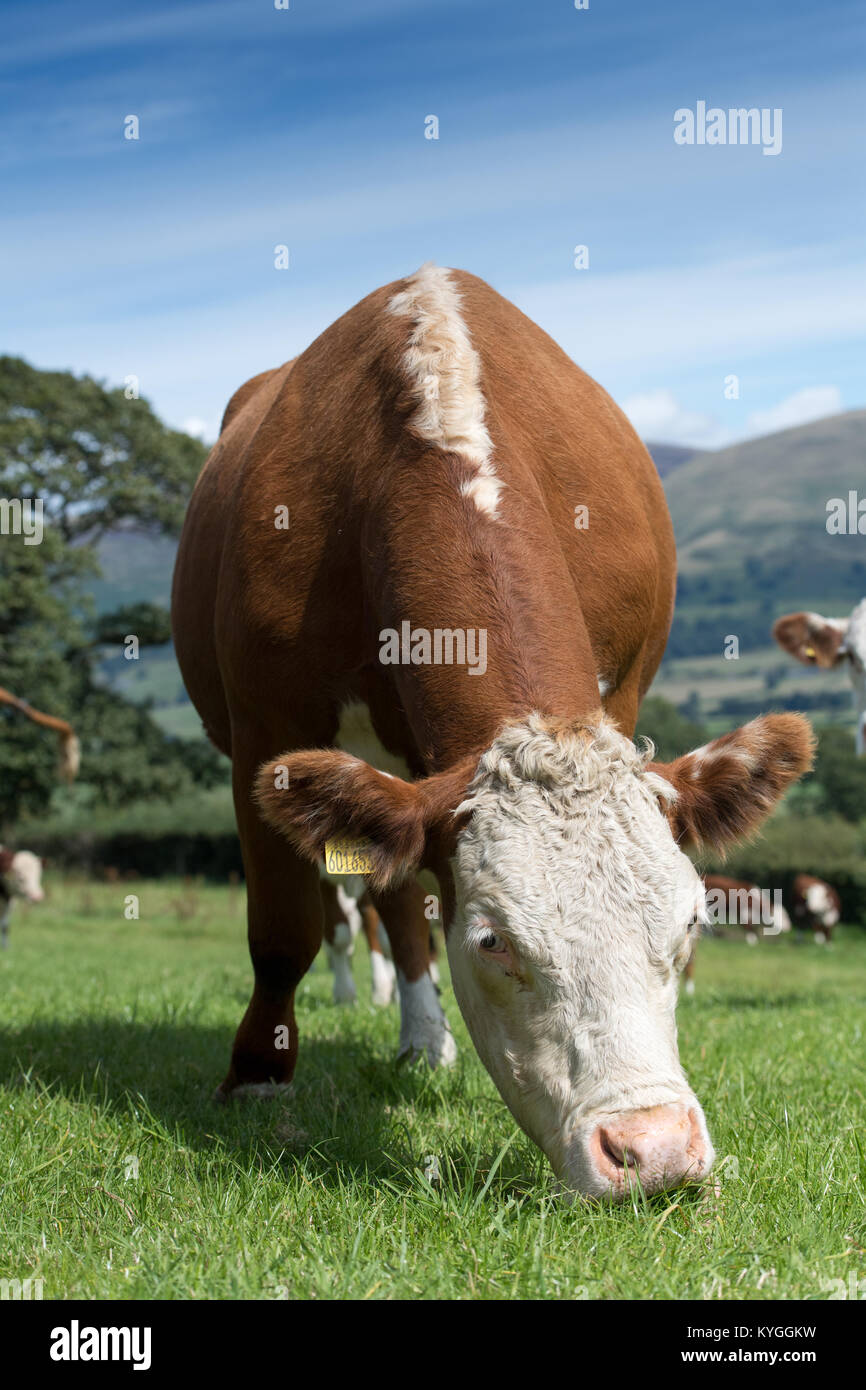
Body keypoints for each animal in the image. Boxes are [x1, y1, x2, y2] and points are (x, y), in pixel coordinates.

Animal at [171, 263, 813, 1200]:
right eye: (493, 942)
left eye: (691, 923)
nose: (653, 1152)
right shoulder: (264, 733)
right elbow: (284, 931)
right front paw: (257, 1077)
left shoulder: (619, 702)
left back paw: (422, 1041)